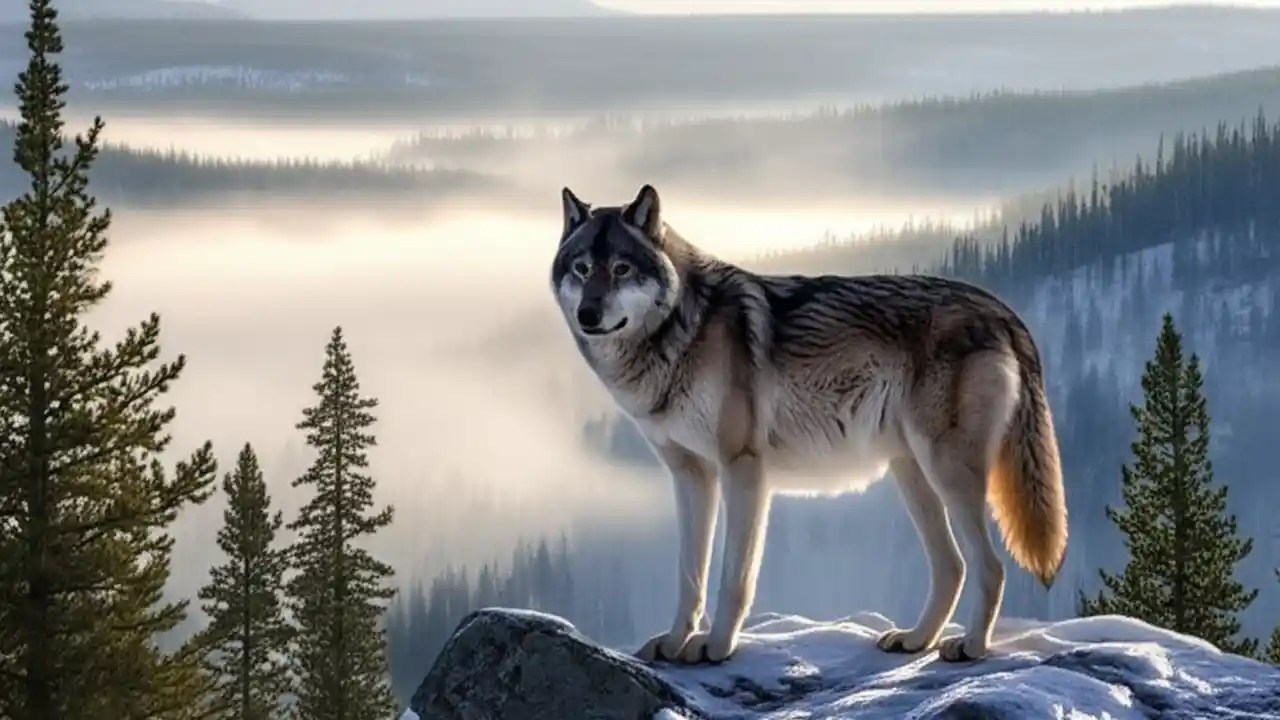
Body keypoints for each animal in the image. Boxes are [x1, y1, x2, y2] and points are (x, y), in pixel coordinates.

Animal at [549, 184, 1068, 665]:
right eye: (581, 269)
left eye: (621, 269)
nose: (588, 314)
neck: (681, 333)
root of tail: (1001, 309)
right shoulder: (690, 475)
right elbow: (688, 577)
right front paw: (676, 643)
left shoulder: (743, 469)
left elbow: (734, 576)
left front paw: (717, 647)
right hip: (912, 474)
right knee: (952, 566)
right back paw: (916, 639)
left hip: (948, 472)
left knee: (991, 567)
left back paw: (973, 646)